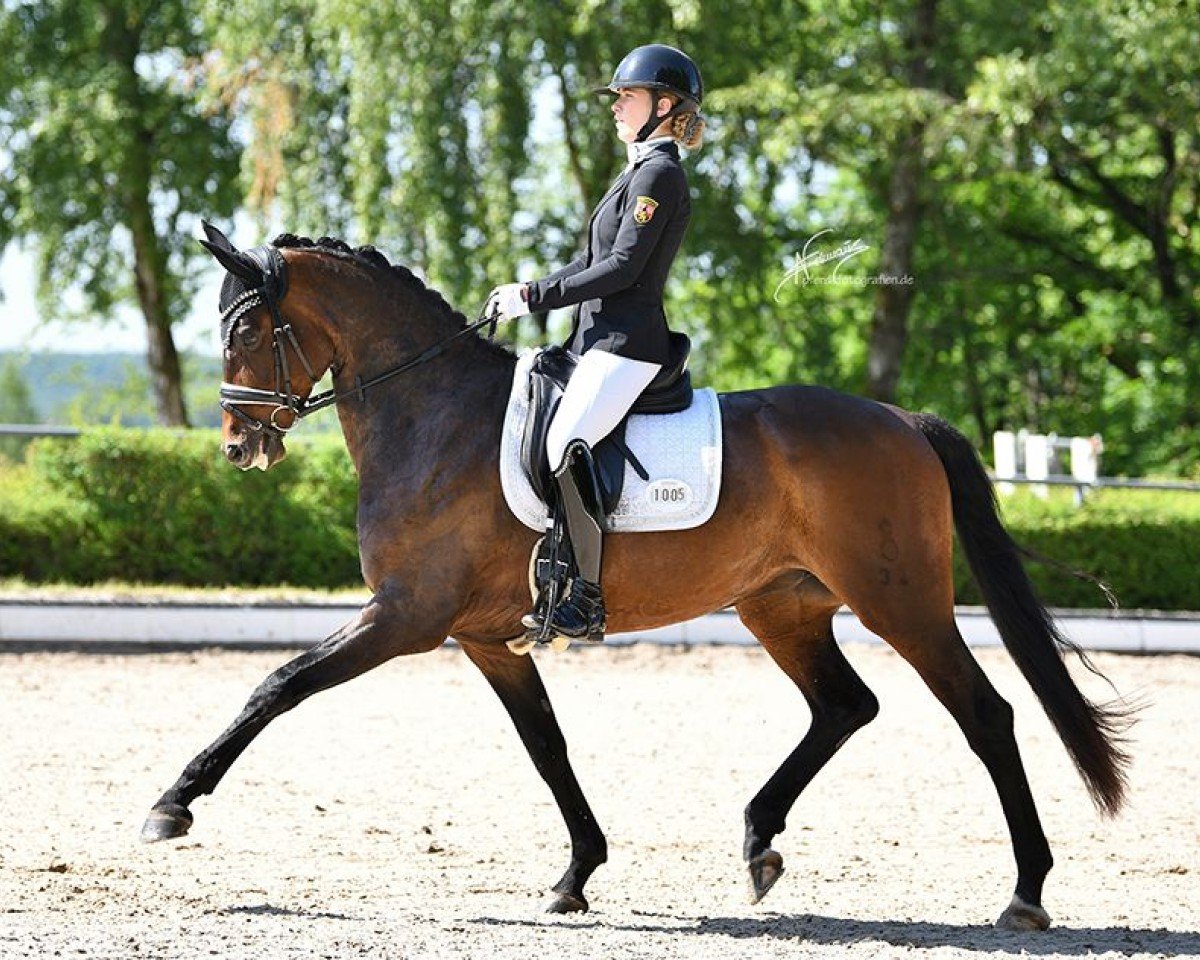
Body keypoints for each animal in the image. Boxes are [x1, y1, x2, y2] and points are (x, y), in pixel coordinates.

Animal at [140, 227, 1130, 930]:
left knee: (985, 715)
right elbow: (547, 747)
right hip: (781, 605)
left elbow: (277, 686)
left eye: (242, 327)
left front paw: (172, 807)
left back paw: (1026, 893)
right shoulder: (483, 637)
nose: (238, 446)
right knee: (846, 706)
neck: (432, 416)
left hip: (901, 602)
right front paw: (576, 874)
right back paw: (758, 845)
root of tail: (903, 421)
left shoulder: (405, 616)